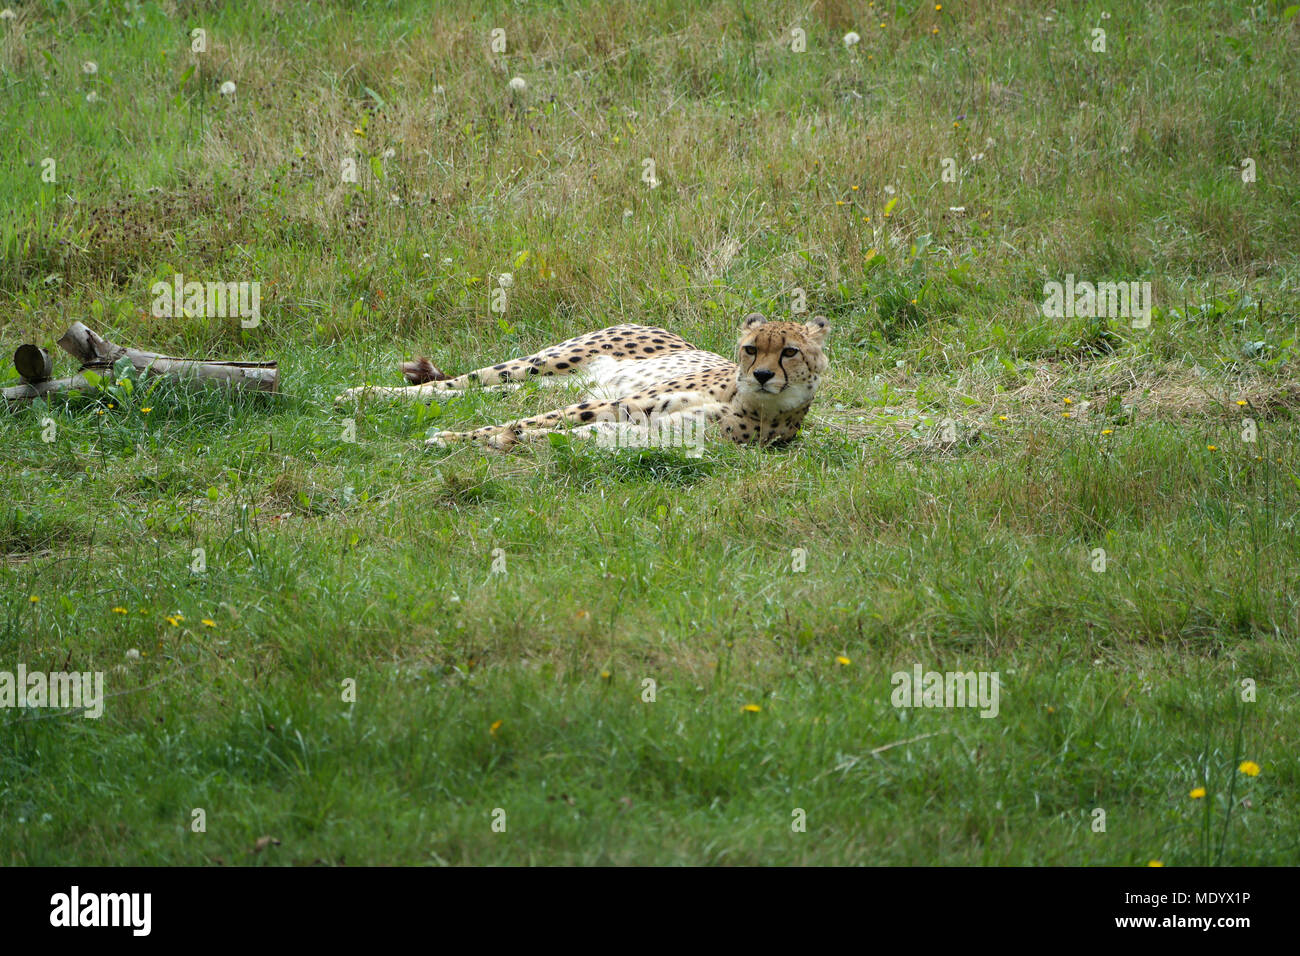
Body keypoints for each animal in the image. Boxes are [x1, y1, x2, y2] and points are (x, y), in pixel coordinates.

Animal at [335, 313, 829, 450]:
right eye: (751, 349)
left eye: (789, 351)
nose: (762, 375)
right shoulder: (623, 406)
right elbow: (522, 424)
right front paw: (456, 437)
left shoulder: (650, 428)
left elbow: (555, 433)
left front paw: (498, 442)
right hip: (547, 363)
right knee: (457, 384)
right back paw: (360, 393)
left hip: (557, 384)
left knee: (488, 392)